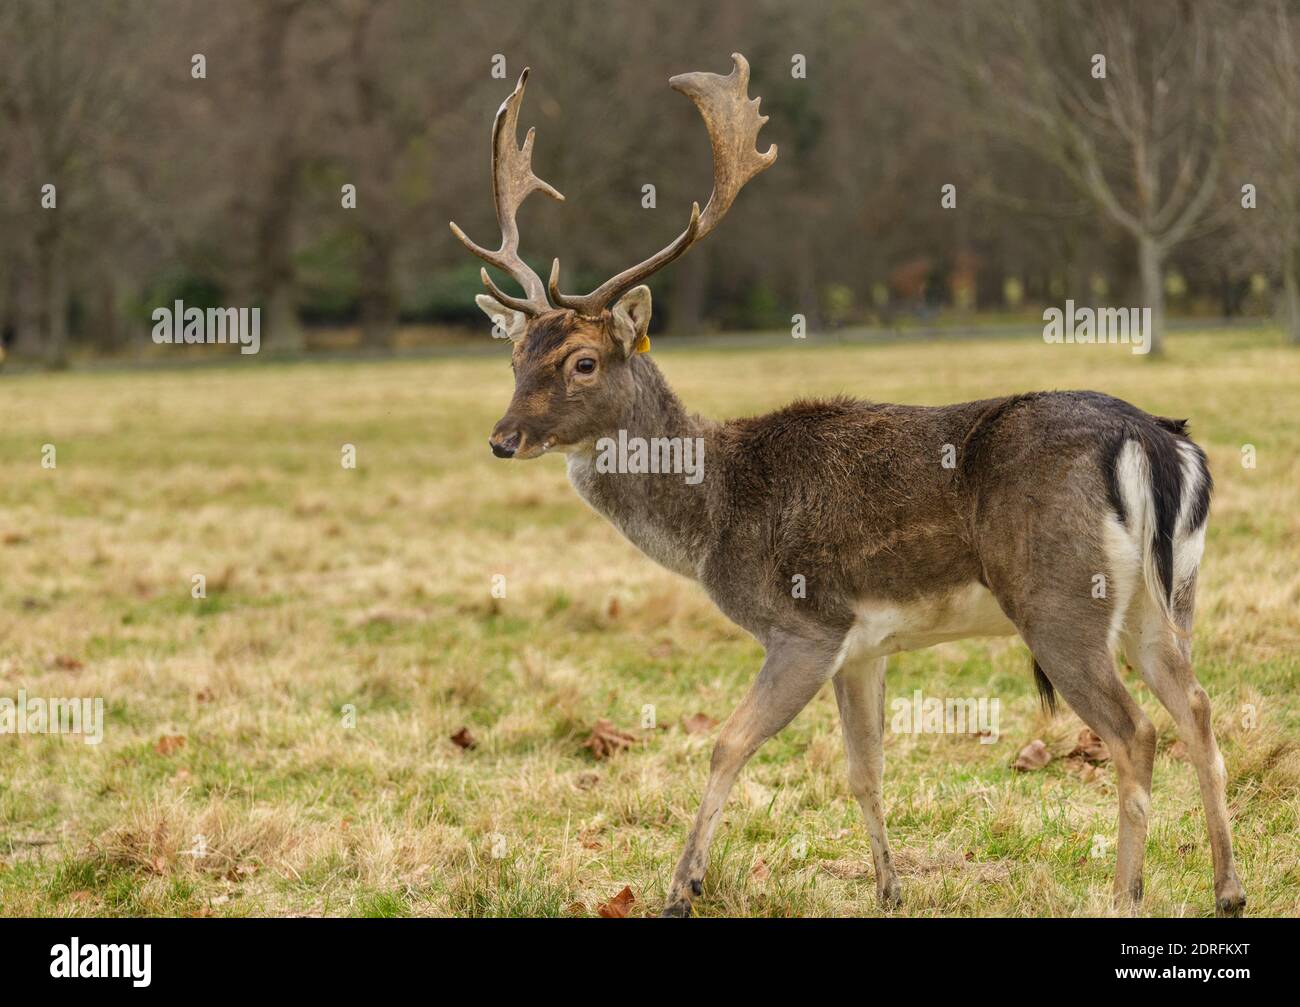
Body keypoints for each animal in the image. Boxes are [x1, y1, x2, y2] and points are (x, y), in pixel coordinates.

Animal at [449, 54, 1245, 918]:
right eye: (515, 354)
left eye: (584, 362)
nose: (501, 438)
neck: (714, 512)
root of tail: (1154, 440)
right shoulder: (863, 647)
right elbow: (866, 767)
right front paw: (890, 889)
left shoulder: (805, 623)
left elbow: (726, 742)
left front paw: (681, 887)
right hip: (1165, 596)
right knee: (1198, 707)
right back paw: (1229, 889)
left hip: (1058, 597)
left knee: (1136, 732)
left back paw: (1126, 893)